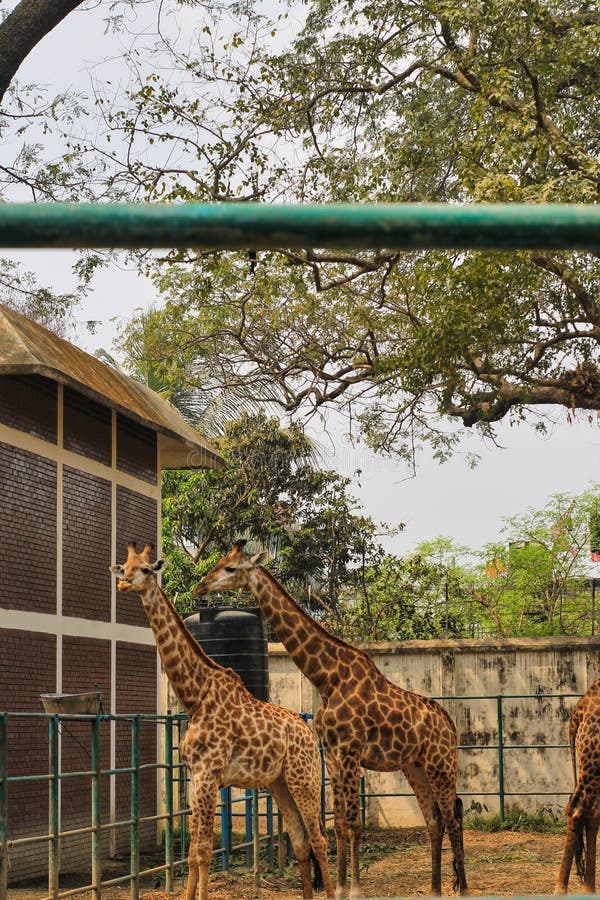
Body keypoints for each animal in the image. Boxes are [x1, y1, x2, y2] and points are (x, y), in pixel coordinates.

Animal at [111, 542, 334, 900]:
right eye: (125, 567)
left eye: (145, 569)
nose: (123, 583)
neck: (195, 696)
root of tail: (308, 731)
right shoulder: (195, 776)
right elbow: (193, 852)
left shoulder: (208, 774)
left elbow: (202, 851)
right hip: (280, 782)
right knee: (301, 841)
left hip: (305, 778)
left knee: (320, 839)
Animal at [194, 540, 468, 898]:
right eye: (219, 561)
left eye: (230, 568)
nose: (200, 586)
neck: (327, 678)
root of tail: (449, 723)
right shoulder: (335, 757)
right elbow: (338, 824)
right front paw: (337, 887)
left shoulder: (350, 752)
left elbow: (353, 823)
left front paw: (354, 889)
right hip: (415, 766)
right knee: (435, 819)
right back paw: (435, 888)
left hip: (440, 763)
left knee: (453, 817)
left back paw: (462, 888)